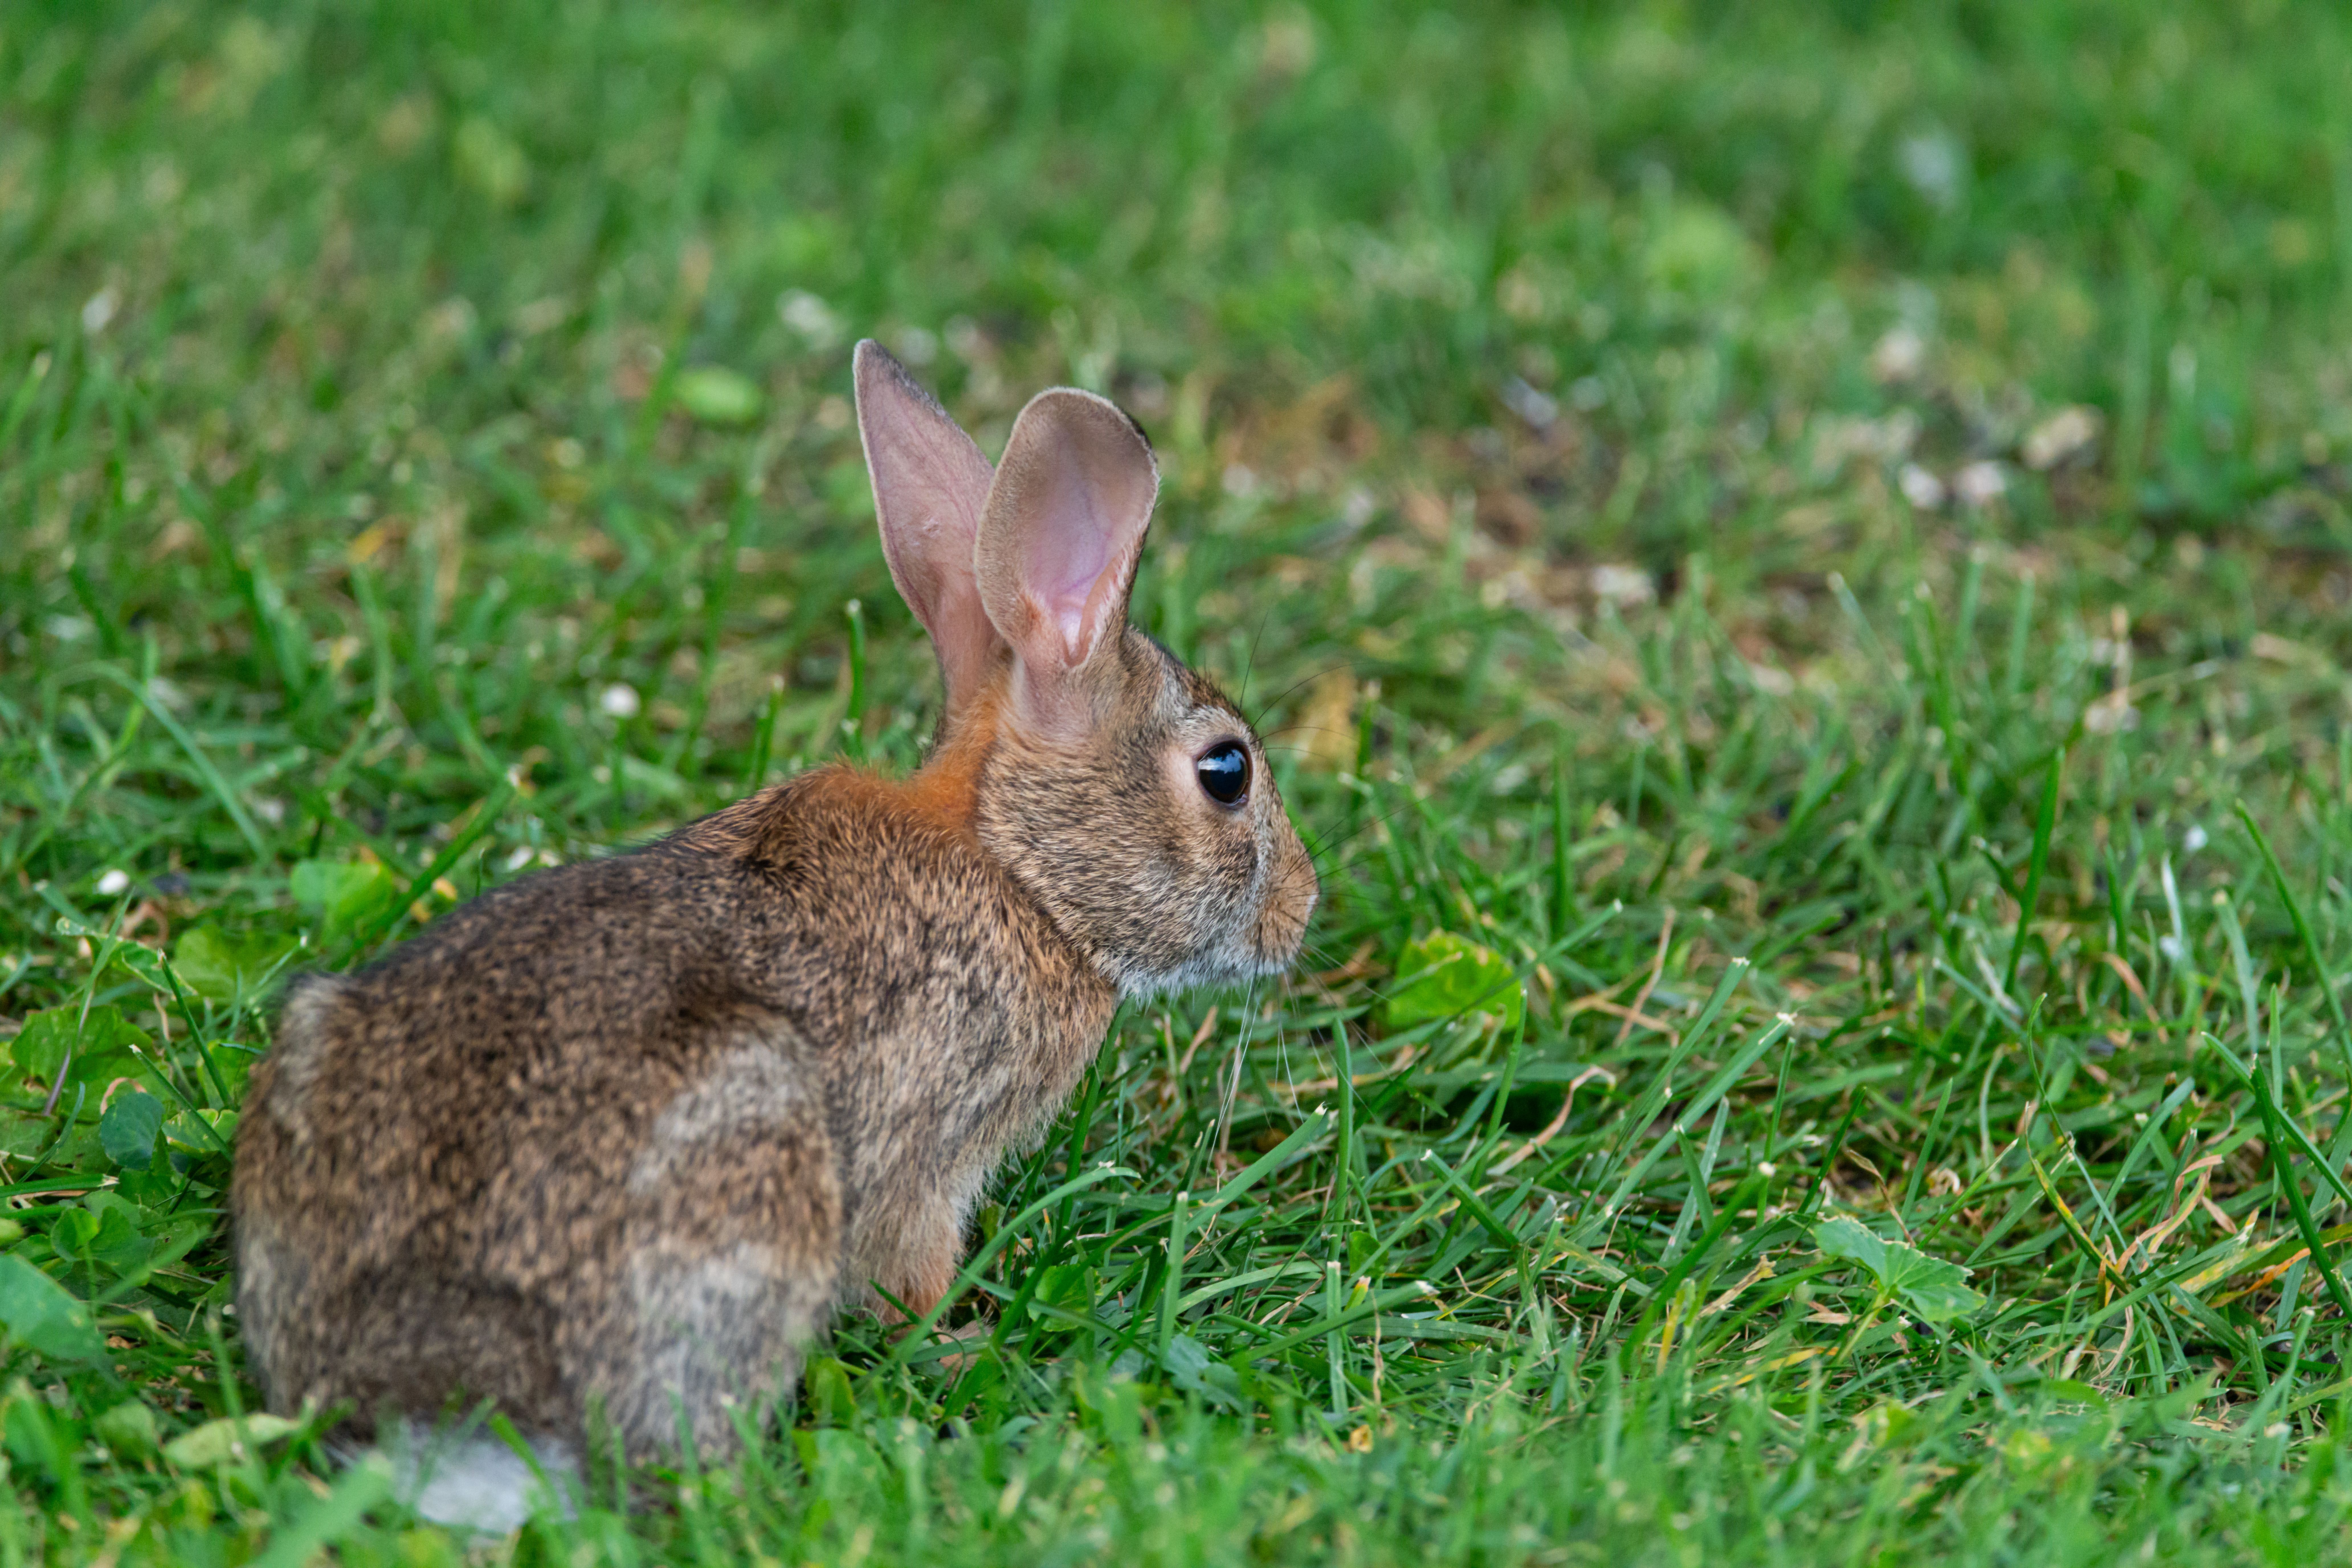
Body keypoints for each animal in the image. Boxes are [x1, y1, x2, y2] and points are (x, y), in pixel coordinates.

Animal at [230, 341, 1319, 1519]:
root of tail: (428, 1404)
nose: (1302, 909)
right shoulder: (930, 1150)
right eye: (1226, 771)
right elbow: (908, 1271)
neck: (1017, 867)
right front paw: (959, 1343)